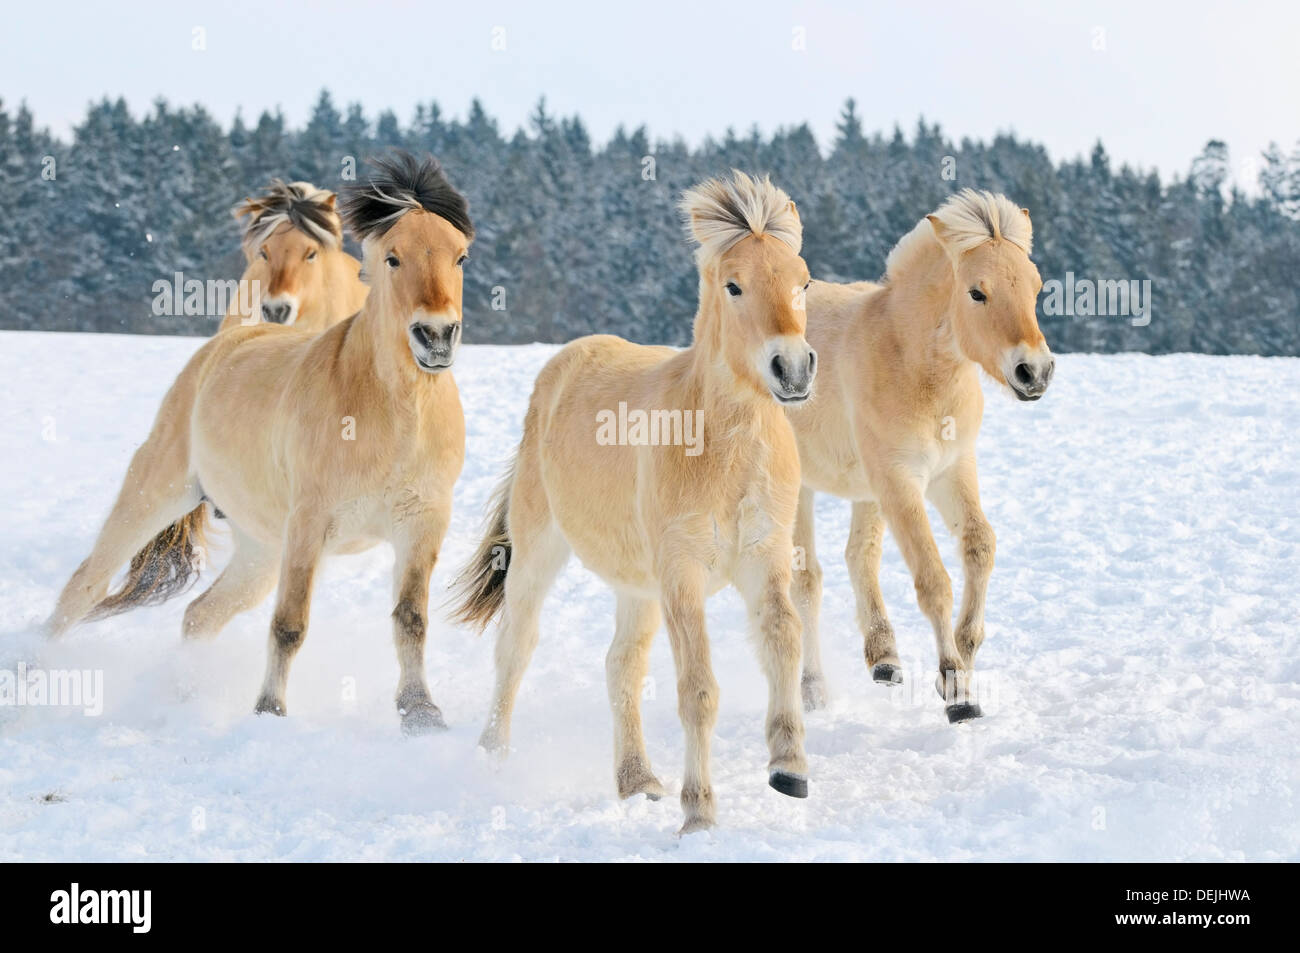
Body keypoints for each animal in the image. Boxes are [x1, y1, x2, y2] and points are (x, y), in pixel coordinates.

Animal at [451, 171, 818, 833]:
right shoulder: (683, 575)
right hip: (541, 551)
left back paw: (638, 781)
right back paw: (492, 759)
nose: (793, 369)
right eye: (734, 285)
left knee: (620, 664)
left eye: (803, 281)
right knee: (515, 647)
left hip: (637, 586)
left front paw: (789, 768)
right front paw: (699, 813)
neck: (724, 451)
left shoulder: (765, 558)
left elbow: (782, 643)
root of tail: (562, 366)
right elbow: (698, 690)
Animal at [785, 189, 1054, 723]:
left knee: (859, 557)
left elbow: (980, 546)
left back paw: (885, 660)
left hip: (866, 493)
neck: (912, 362)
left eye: (1035, 287)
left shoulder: (951, 471)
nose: (1034, 372)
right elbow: (933, 579)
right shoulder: (900, 480)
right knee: (807, 581)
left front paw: (962, 658)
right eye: (977, 293)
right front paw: (957, 691)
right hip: (802, 487)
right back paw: (813, 691)